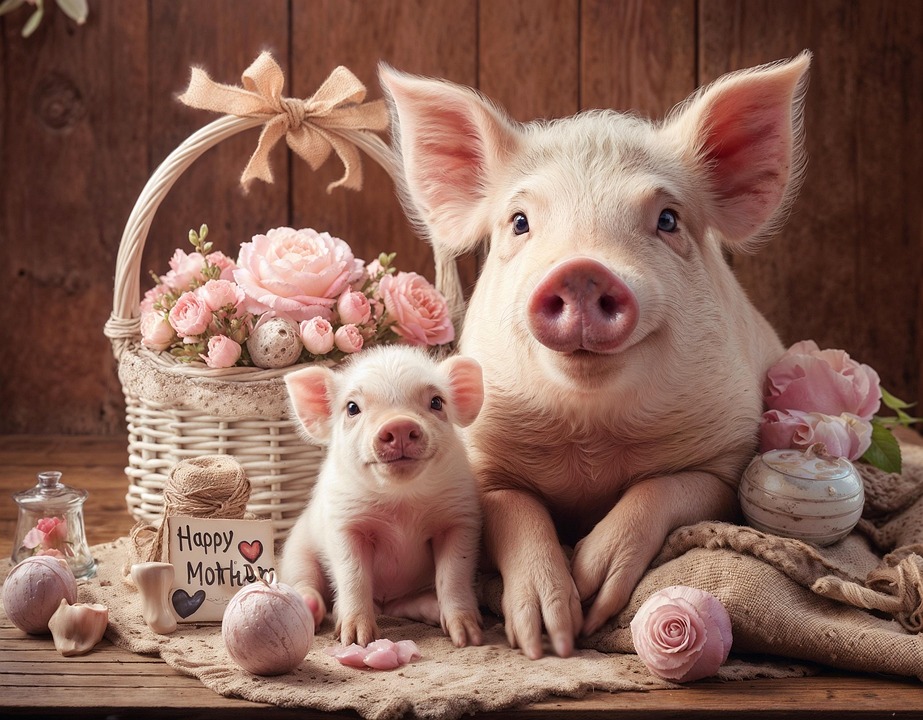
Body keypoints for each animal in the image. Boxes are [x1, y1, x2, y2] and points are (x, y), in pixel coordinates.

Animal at [280, 345, 485, 648]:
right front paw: (356, 641)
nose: (399, 425)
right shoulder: (344, 524)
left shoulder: (460, 519)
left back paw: (432, 611)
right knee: (303, 580)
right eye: (352, 407)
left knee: (404, 605)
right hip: (296, 549)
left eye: (437, 402)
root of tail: (383, 601)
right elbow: (353, 576)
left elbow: (453, 575)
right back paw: (312, 607)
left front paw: (468, 638)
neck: (400, 503)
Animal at [379, 52, 811, 659]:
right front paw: (549, 638)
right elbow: (512, 506)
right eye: (519, 221)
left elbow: (667, 488)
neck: (590, 440)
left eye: (668, 219)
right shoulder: (479, 457)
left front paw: (589, 588)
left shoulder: (728, 457)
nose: (582, 270)